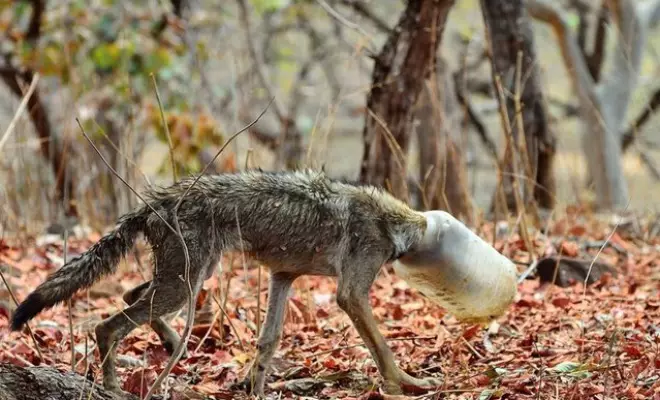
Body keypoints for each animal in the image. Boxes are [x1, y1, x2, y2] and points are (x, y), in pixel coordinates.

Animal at [10, 169, 444, 396]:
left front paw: (254, 387)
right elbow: (383, 348)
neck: (393, 222)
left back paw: (172, 343)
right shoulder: (350, 295)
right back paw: (114, 386)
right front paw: (408, 383)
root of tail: (153, 203)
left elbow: (268, 341)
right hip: (183, 285)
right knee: (107, 325)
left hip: (189, 279)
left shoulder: (282, 276)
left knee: (130, 296)